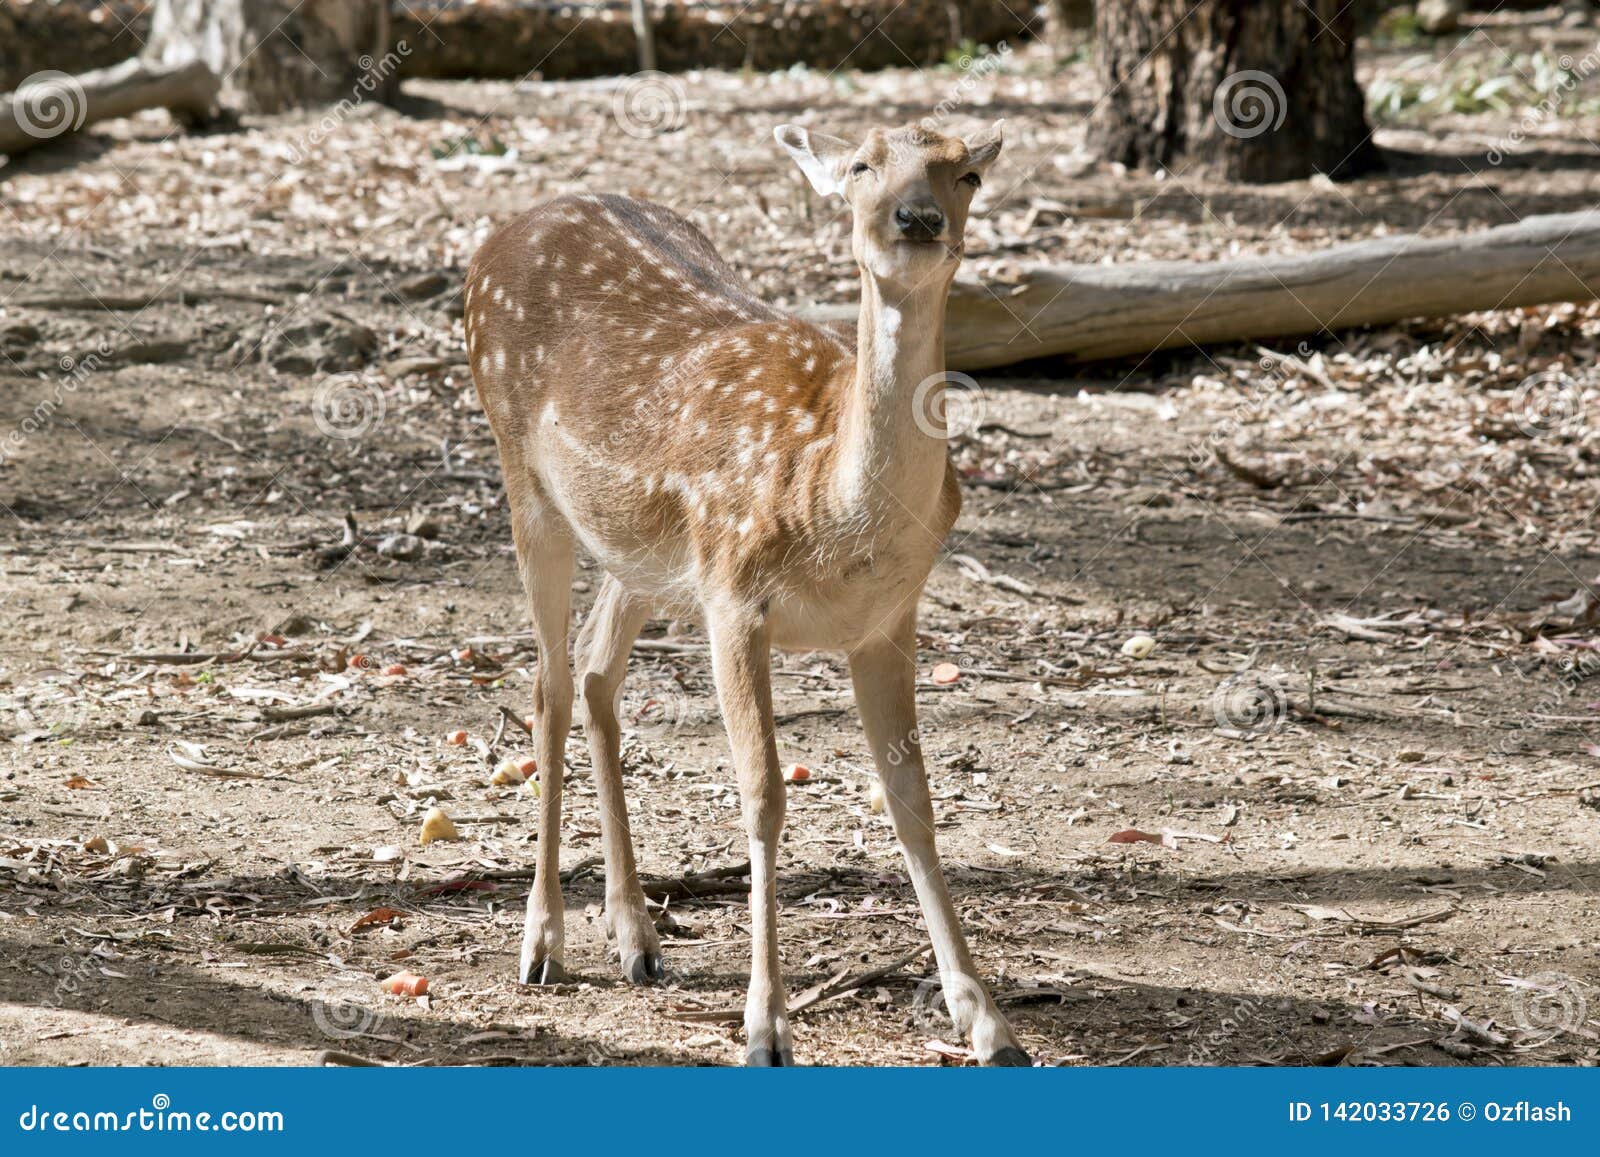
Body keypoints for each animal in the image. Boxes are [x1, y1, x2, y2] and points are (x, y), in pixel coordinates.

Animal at [465, 120, 1027, 1066]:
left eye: (968, 174)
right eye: (860, 164)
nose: (916, 219)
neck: (834, 504)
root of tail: (498, 235)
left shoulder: (887, 620)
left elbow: (913, 801)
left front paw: (988, 1021)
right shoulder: (735, 592)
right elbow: (763, 796)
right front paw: (766, 1026)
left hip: (642, 548)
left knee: (594, 666)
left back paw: (637, 937)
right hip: (527, 480)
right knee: (546, 681)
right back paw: (543, 941)